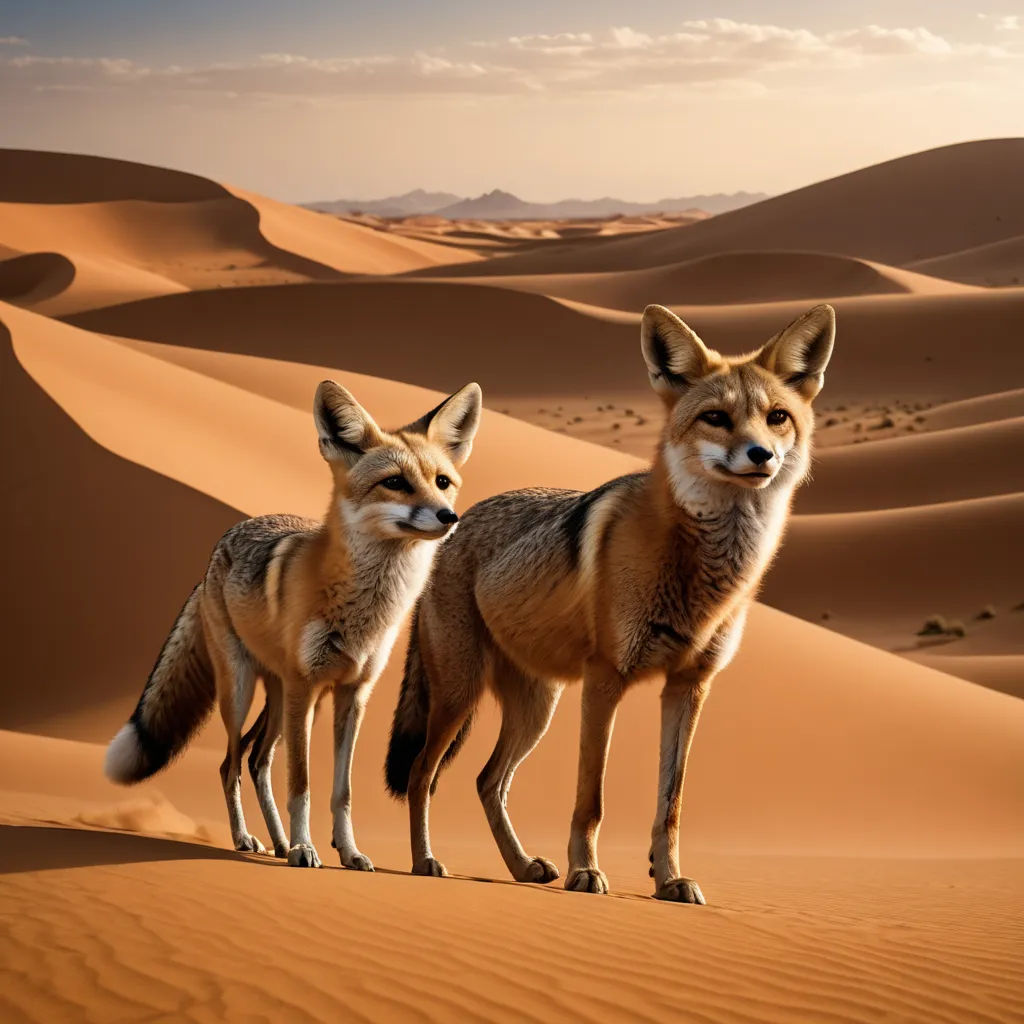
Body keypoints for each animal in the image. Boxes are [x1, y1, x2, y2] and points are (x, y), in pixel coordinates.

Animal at [105, 379, 482, 870]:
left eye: (442, 483)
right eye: (395, 483)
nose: (448, 517)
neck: (363, 610)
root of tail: (216, 551)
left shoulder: (352, 694)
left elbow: (342, 791)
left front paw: (348, 851)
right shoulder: (307, 685)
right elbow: (301, 784)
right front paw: (306, 848)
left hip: (284, 699)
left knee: (257, 761)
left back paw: (280, 842)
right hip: (245, 690)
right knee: (231, 764)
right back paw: (250, 839)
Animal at [385, 302, 835, 902]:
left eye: (777, 417)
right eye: (716, 418)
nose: (760, 454)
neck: (699, 573)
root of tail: (450, 519)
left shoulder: (689, 686)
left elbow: (670, 804)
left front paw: (669, 879)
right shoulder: (605, 678)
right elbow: (591, 799)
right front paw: (586, 872)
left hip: (537, 708)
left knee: (487, 781)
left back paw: (521, 867)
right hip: (461, 695)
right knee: (423, 777)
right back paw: (425, 862)